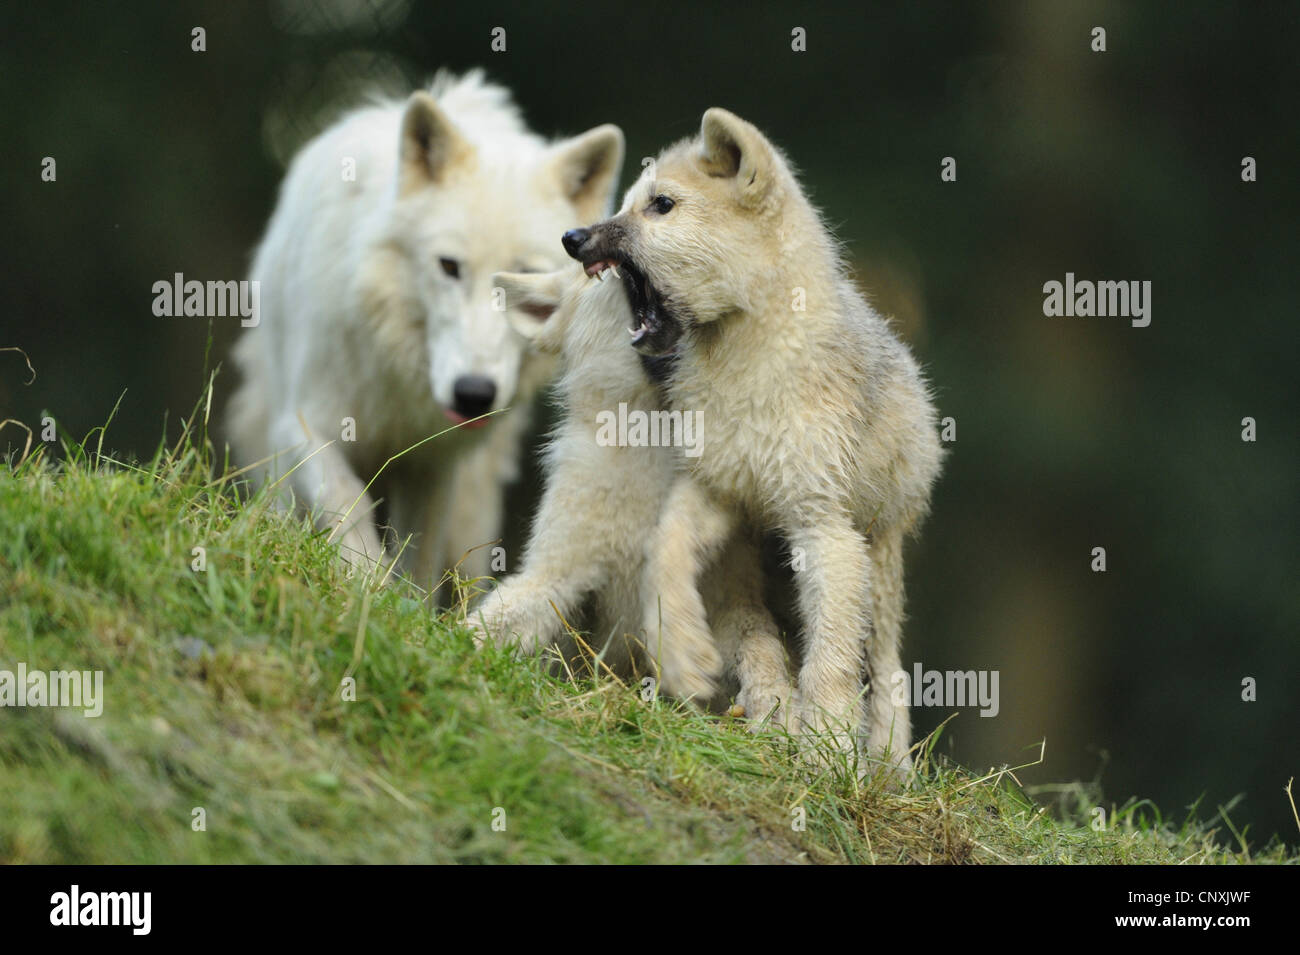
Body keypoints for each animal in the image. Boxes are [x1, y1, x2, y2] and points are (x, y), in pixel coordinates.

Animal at [226, 71, 623, 592]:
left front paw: (401, 603)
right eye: (449, 267)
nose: (473, 394)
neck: (401, 372)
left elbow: (419, 552)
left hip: (477, 496)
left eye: (524, 277)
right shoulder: (304, 424)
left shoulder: (436, 461)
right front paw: (367, 586)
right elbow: (348, 505)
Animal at [562, 108, 943, 768]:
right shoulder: (717, 493)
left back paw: (887, 767)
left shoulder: (824, 530)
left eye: (661, 205)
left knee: (886, 668)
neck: (750, 368)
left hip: (878, 560)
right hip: (746, 569)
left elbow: (832, 661)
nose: (573, 237)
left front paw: (828, 752)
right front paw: (682, 654)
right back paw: (770, 712)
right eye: (629, 202)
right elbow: (664, 552)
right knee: (762, 641)